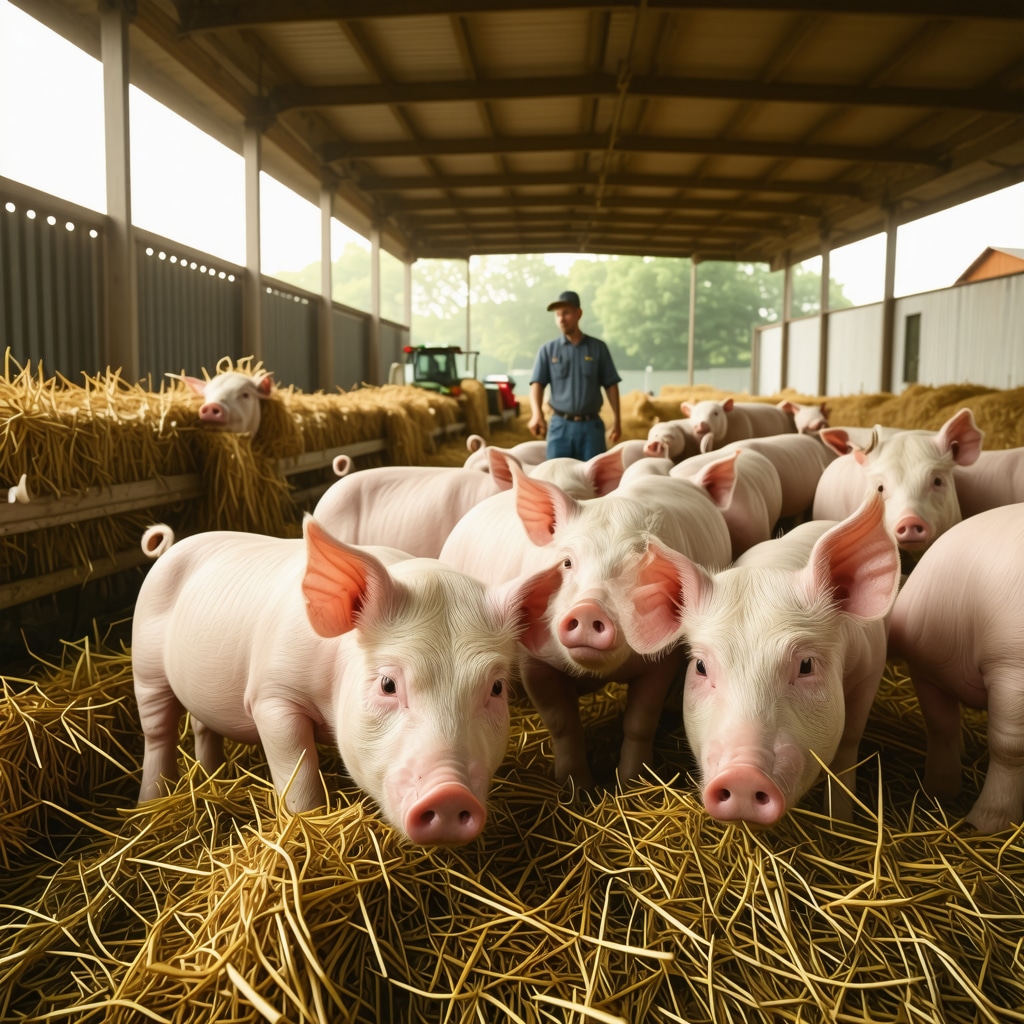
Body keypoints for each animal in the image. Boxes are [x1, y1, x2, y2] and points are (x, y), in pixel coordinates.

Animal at [132, 516, 563, 846]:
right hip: (146, 665)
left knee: (202, 725)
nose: (449, 793)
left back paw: (212, 775)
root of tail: (172, 547)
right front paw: (306, 823)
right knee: (158, 732)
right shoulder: (271, 696)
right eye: (388, 684)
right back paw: (148, 804)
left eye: (496, 688)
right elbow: (299, 772)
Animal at [440, 454, 732, 787]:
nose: (589, 609)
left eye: (641, 570)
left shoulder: (662, 659)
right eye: (567, 562)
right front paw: (575, 787)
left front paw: (630, 781)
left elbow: (640, 722)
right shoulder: (534, 662)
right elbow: (562, 723)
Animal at [623, 492, 900, 825]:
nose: (743, 774)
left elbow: (848, 744)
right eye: (701, 667)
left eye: (806, 665)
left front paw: (840, 820)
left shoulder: (870, 671)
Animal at [888, 504, 1024, 833]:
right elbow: (942, 726)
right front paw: (939, 794)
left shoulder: (1010, 665)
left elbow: (1007, 746)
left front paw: (985, 824)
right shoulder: (930, 671)